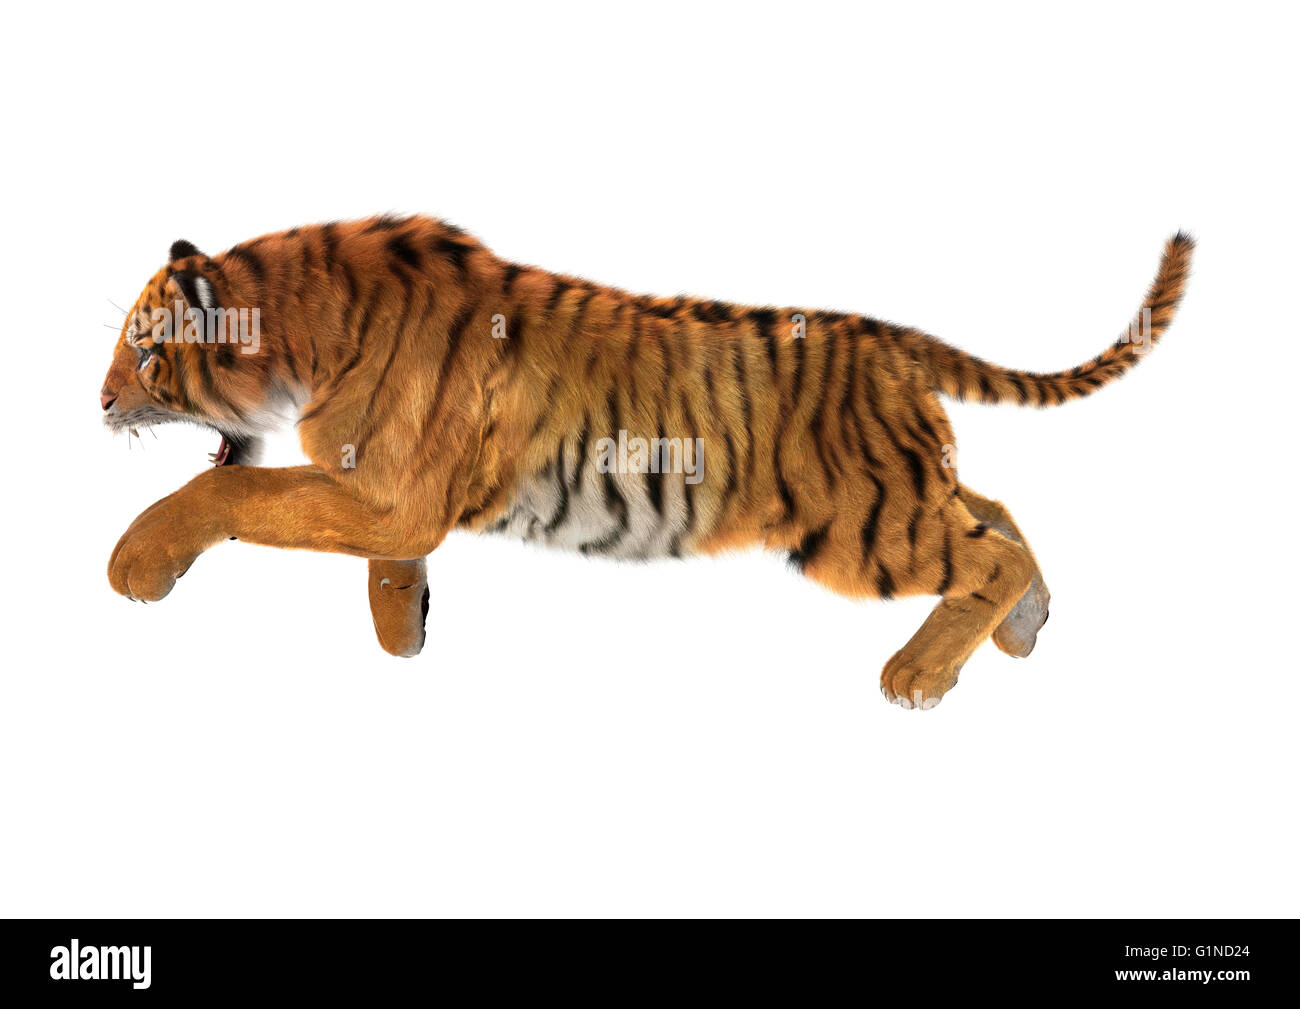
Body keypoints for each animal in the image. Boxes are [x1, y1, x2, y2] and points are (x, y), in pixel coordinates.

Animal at [102, 216, 1192, 709]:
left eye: (147, 352)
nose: (101, 403)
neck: (304, 334)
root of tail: (892, 339)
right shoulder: (385, 497)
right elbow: (365, 552)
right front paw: (404, 631)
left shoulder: (393, 492)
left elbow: (231, 485)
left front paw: (137, 566)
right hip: (900, 493)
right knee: (999, 512)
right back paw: (1025, 629)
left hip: (858, 528)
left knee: (987, 547)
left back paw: (918, 673)